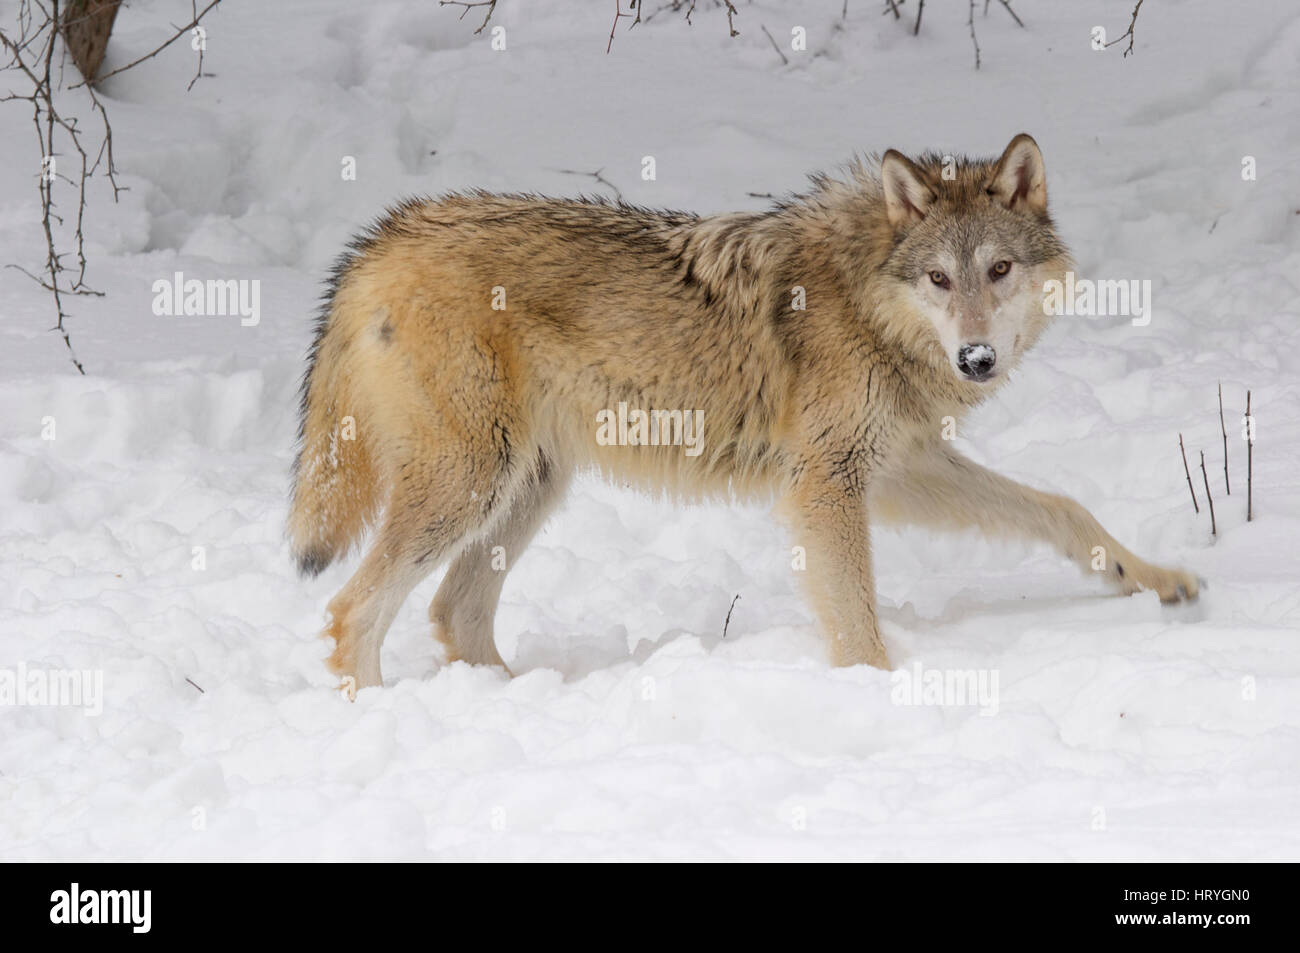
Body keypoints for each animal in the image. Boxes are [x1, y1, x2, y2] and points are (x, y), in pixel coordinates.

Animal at [289, 133, 1199, 690]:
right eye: (941, 278)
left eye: (1000, 270)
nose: (976, 359)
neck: (866, 301)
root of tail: (383, 234)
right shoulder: (828, 482)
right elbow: (856, 619)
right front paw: (881, 695)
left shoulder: (900, 469)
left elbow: (1062, 508)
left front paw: (1151, 577)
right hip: (474, 483)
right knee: (350, 610)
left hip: (527, 487)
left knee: (456, 610)